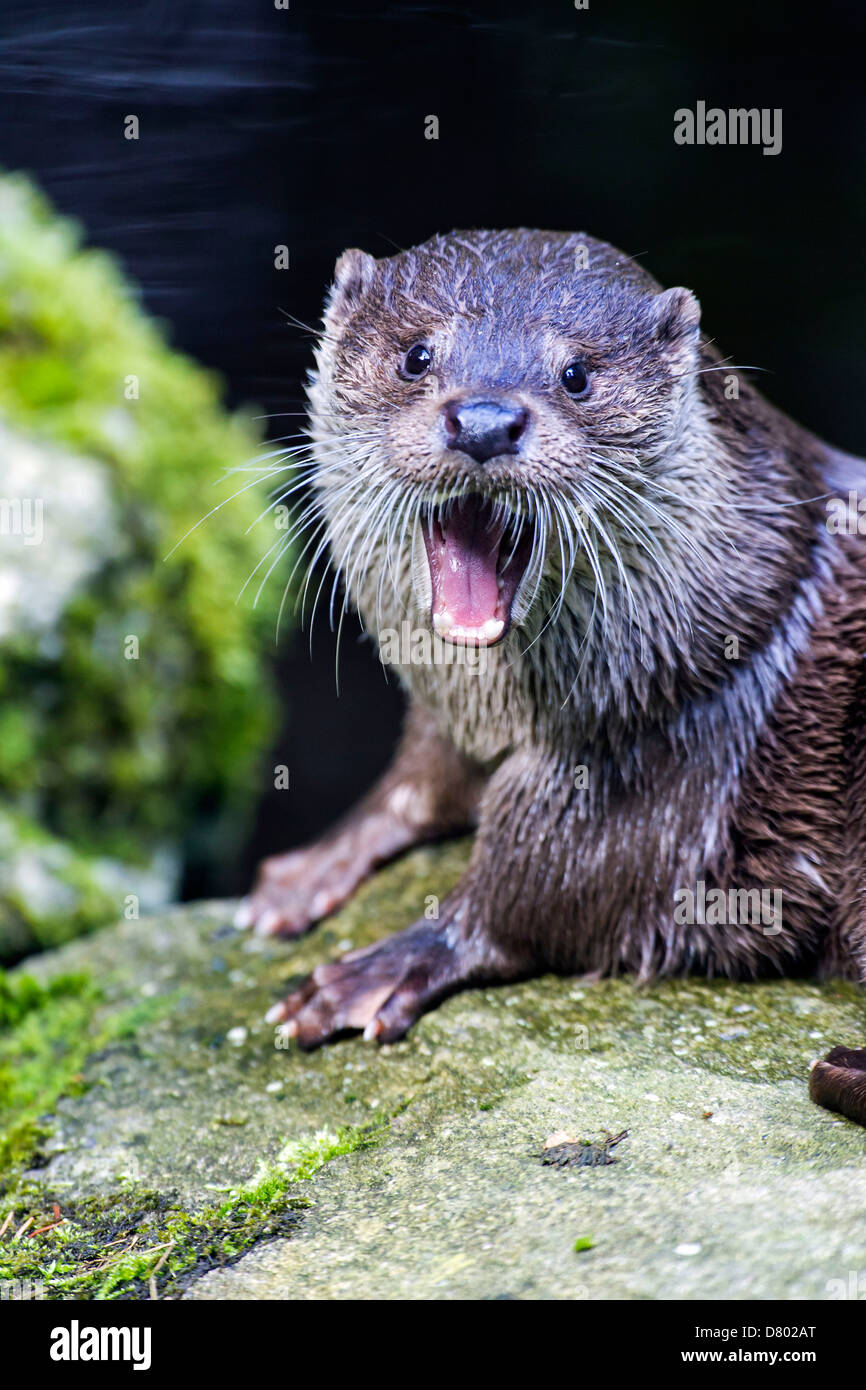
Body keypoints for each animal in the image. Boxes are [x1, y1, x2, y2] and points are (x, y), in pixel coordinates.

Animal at [236, 228, 866, 1126]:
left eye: (577, 375)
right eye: (416, 356)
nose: (484, 420)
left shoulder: (677, 748)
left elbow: (544, 889)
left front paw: (392, 962)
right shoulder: (453, 717)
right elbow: (418, 779)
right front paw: (314, 867)